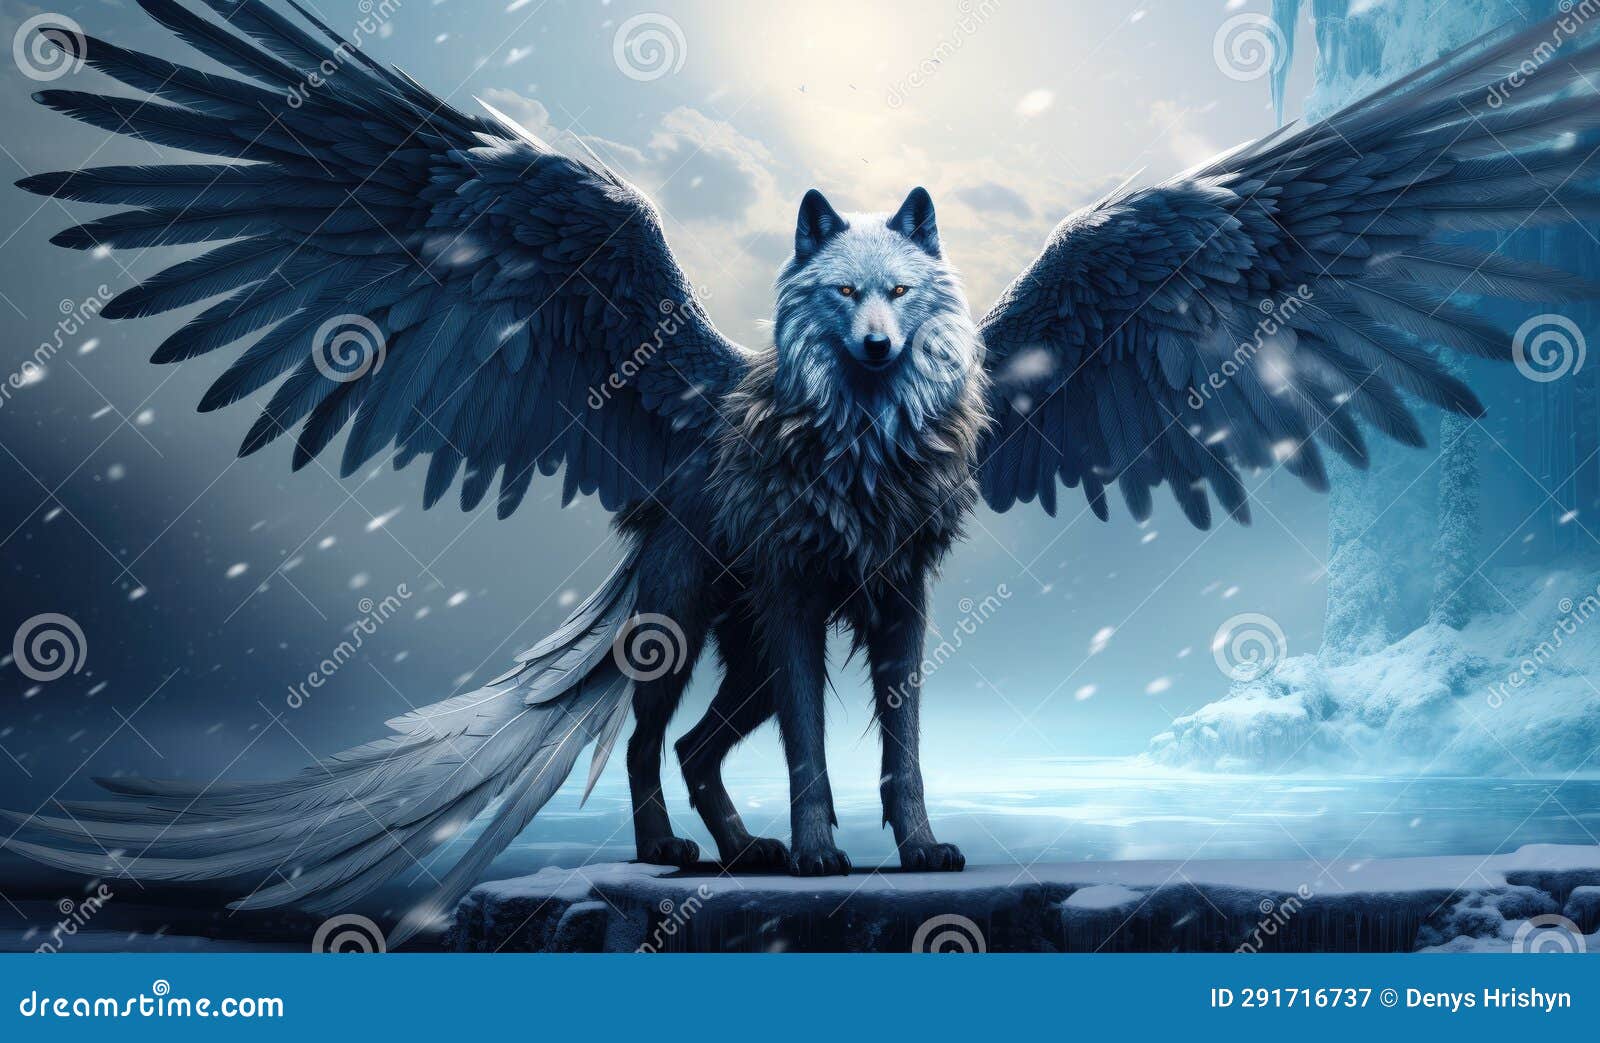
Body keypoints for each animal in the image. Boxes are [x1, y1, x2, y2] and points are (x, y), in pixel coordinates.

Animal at [9, 1, 1600, 945]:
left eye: (907, 291)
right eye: (840, 296)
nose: (885, 342)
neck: (857, 438)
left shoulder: (890, 597)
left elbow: (895, 739)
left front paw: (914, 846)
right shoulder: (789, 588)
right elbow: (826, 754)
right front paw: (828, 854)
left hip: (749, 644)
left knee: (712, 746)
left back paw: (734, 847)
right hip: (688, 618)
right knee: (654, 742)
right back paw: (684, 851)